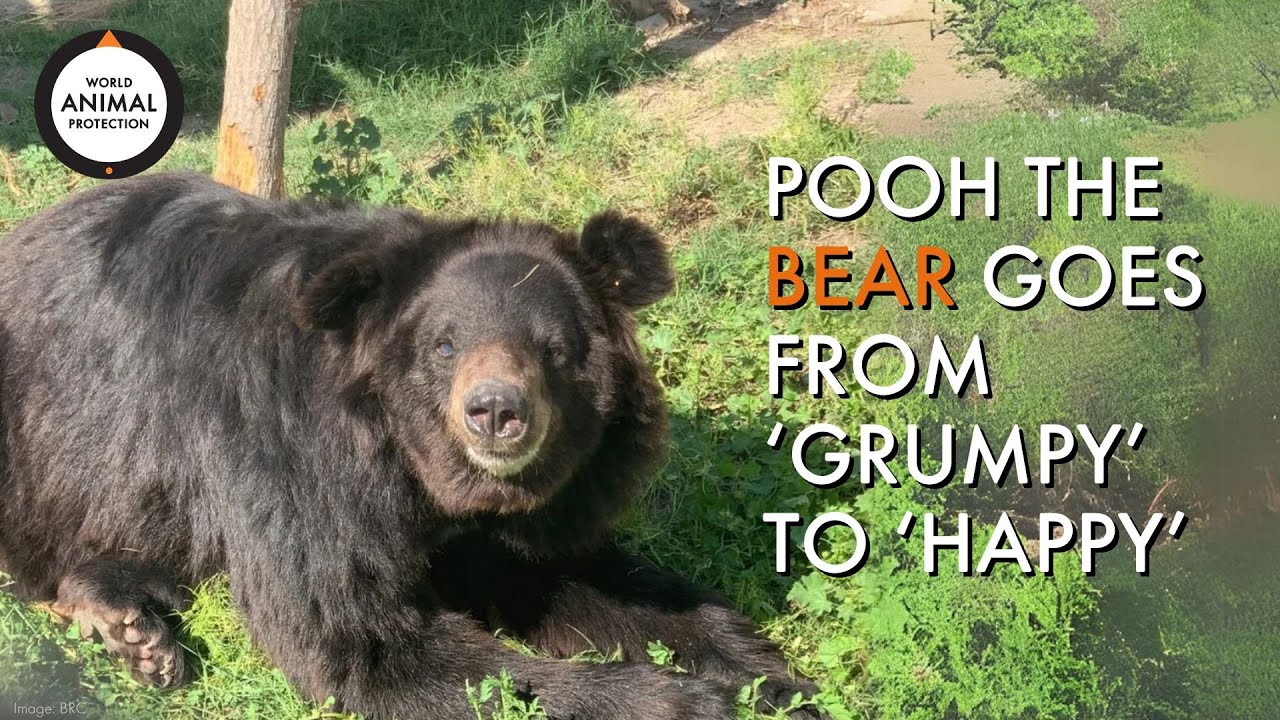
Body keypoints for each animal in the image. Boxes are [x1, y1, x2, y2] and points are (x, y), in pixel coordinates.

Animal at [0, 173, 822, 720]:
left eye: (554, 349)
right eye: (445, 345)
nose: (495, 413)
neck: (408, 456)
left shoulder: (495, 516)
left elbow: (571, 577)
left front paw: (773, 680)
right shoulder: (289, 458)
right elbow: (364, 641)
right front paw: (682, 701)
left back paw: (132, 630)